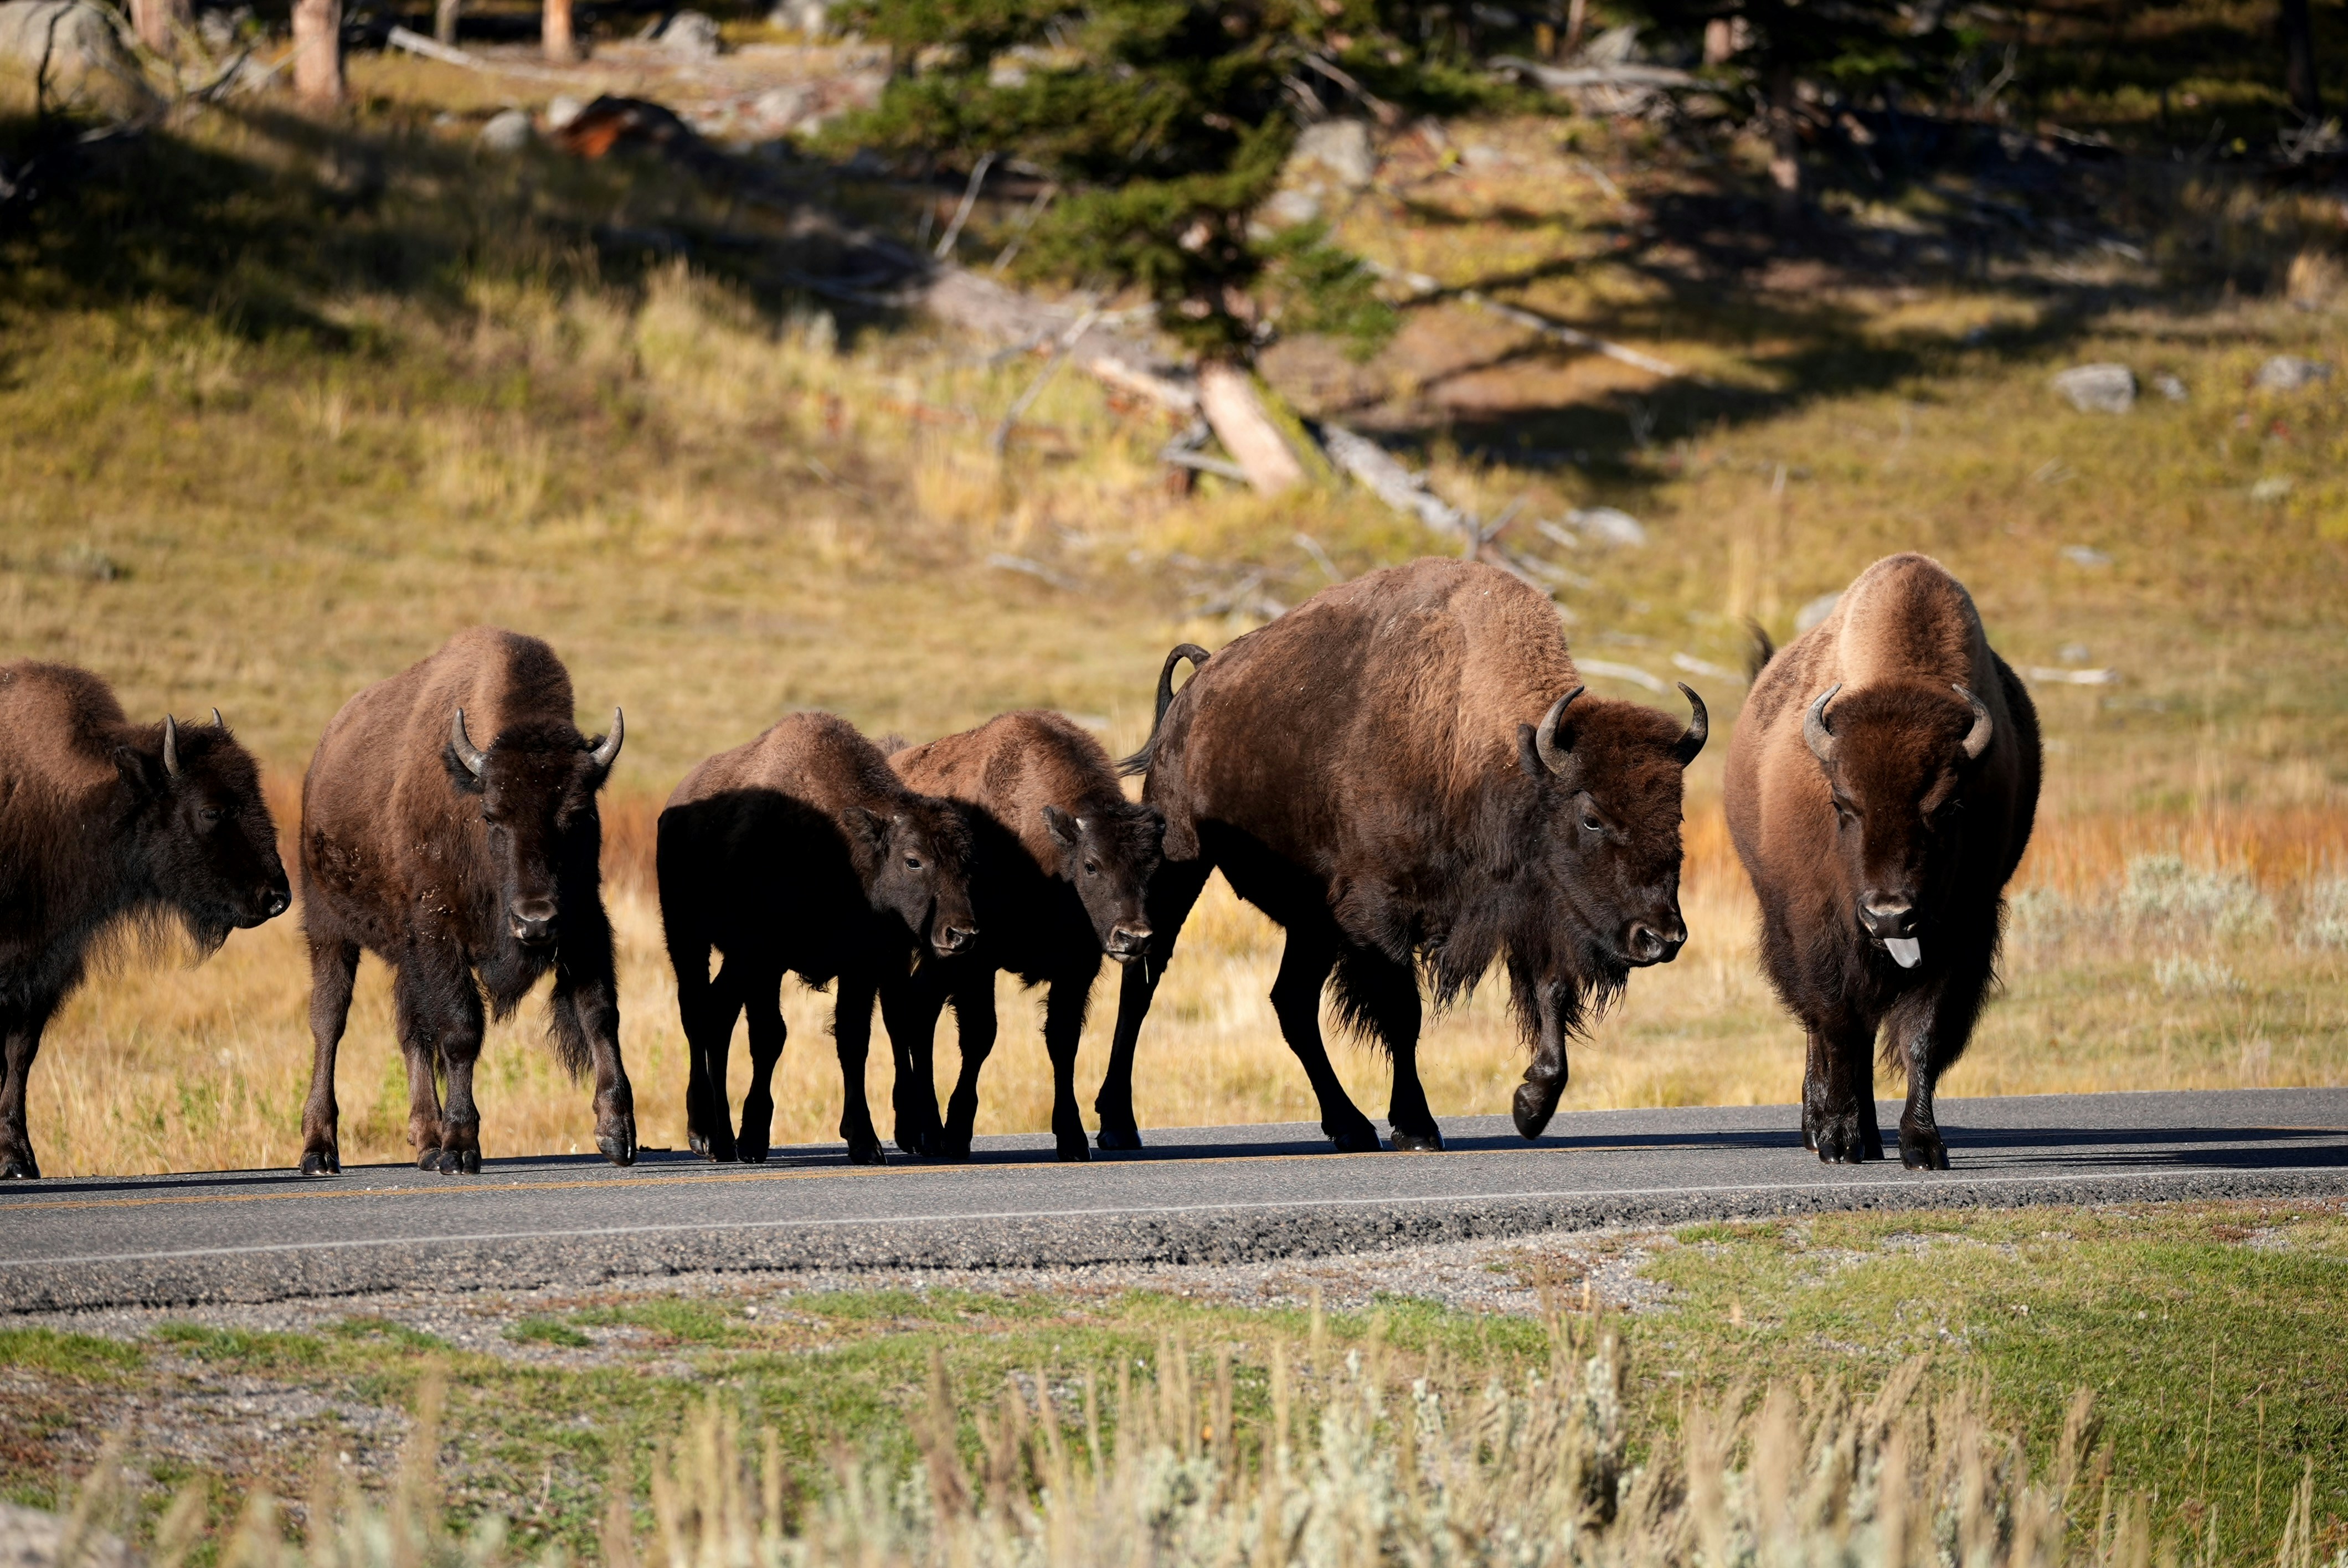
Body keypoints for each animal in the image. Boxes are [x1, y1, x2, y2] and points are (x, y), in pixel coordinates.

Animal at [297, 628, 632, 1175]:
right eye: (492, 815)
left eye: (580, 812)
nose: (535, 922)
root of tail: (322, 755)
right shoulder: (440, 932)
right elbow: (460, 1031)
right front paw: (460, 1147)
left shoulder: (584, 921)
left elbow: (600, 1014)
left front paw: (618, 1134)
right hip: (329, 930)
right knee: (329, 1022)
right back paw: (320, 1150)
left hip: (405, 952)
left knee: (410, 1029)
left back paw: (425, 1140)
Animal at [659, 712, 977, 1166]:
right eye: (913, 860)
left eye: (968, 862)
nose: (961, 934)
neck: (840, 847)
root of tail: (674, 806)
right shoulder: (766, 961)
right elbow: (769, 1037)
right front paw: (753, 1139)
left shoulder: (862, 964)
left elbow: (854, 1040)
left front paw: (864, 1141)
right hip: (688, 939)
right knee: (696, 1013)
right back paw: (706, 1134)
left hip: (733, 961)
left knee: (718, 1016)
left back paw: (722, 1138)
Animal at [883, 711, 1164, 1162]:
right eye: (1092, 865)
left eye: (1153, 867)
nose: (1133, 937)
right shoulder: (975, 960)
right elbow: (981, 1037)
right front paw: (958, 1135)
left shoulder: (1076, 969)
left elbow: (1062, 1042)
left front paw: (1072, 1139)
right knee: (912, 1014)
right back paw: (927, 1133)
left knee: (919, 1011)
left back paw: (927, 1132)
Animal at [1101, 558, 1706, 1153]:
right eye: (1592, 816)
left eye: (1675, 813)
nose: (1661, 938)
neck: (1485, 751)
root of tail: (1196, 687)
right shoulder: (1379, 914)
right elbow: (1403, 1014)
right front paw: (1416, 1127)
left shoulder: (1533, 912)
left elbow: (1551, 994)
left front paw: (1531, 1107)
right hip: (1180, 867)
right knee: (1144, 982)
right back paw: (1118, 1125)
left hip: (1311, 920)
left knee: (1291, 1002)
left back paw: (1349, 1126)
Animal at [1725, 553, 2041, 1169]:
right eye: (1843, 804)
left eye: (1949, 806)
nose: (1889, 915)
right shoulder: (1818, 927)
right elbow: (1838, 1025)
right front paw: (1837, 1138)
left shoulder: (1960, 927)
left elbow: (1923, 1033)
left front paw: (1922, 1144)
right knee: (1825, 1028)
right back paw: (1826, 1129)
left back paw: (1870, 1136)